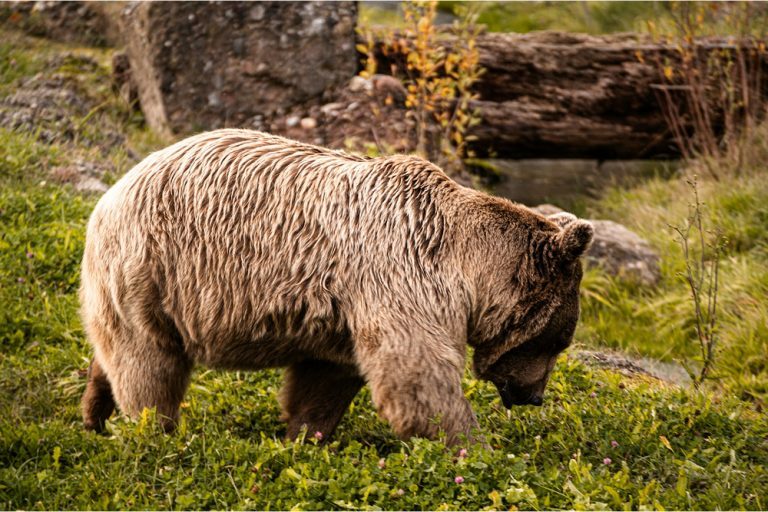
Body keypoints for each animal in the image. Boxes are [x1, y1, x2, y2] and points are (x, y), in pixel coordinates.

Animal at [80, 129, 593, 444]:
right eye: (558, 342)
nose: (534, 396)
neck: (464, 268)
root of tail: (110, 193)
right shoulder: (402, 274)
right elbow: (417, 376)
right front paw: (470, 446)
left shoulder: (343, 314)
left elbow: (325, 381)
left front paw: (303, 436)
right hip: (154, 270)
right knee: (149, 366)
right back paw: (158, 432)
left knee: (113, 353)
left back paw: (94, 412)